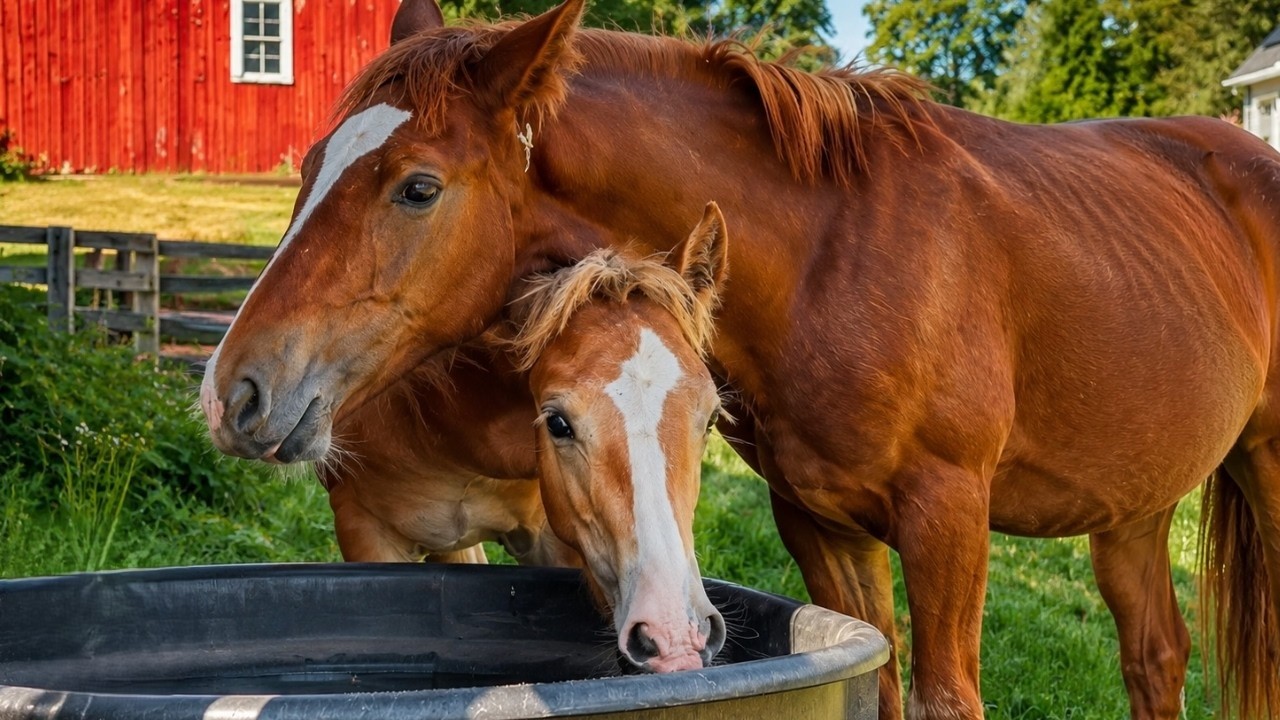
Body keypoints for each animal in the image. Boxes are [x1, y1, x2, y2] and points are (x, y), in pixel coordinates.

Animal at [198, 1, 1280, 717]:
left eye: (417, 187)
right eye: (308, 166)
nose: (235, 390)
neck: (832, 258)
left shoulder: (946, 521)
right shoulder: (820, 526)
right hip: (1131, 506)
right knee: (1155, 655)